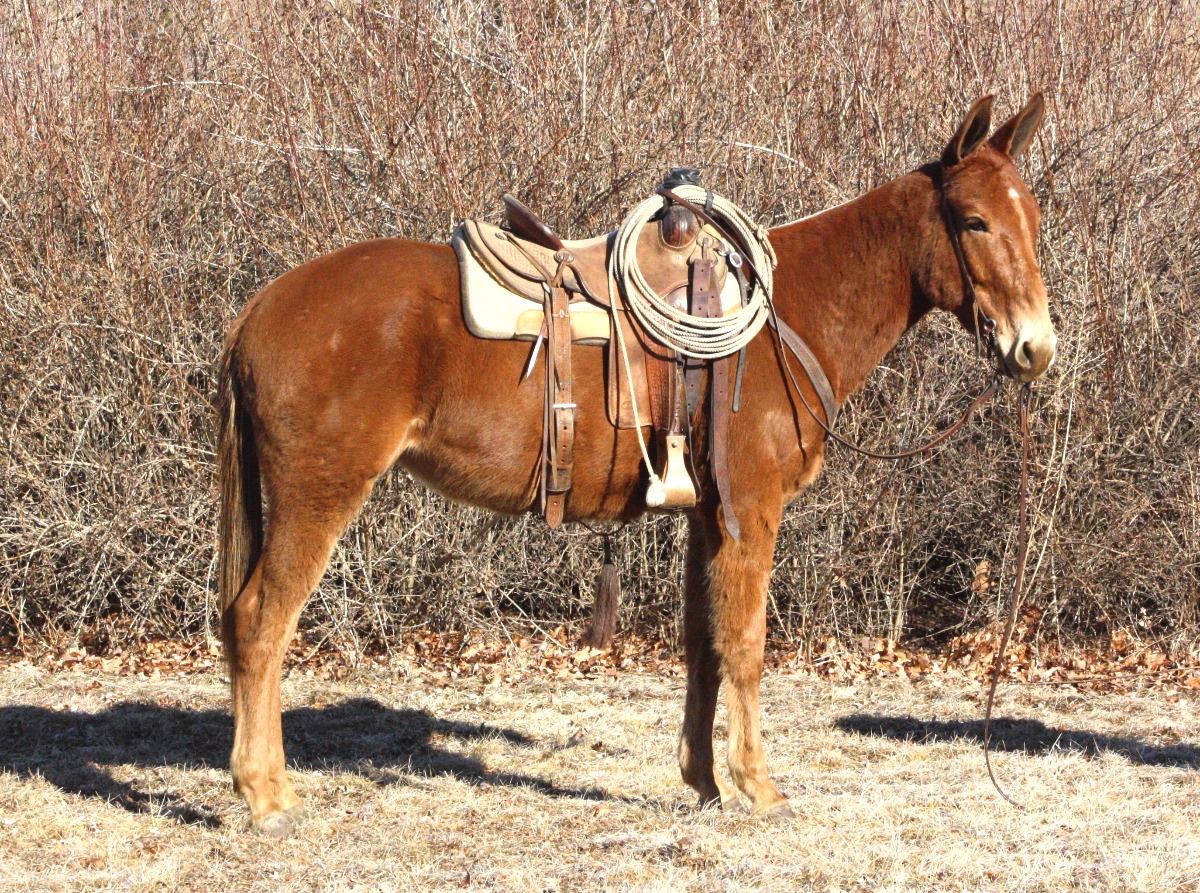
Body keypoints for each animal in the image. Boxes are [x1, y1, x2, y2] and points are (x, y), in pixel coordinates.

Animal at [216, 94, 1055, 835]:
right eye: (974, 220)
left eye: (1033, 219)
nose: (1035, 348)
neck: (787, 314)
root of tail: (261, 310)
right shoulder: (752, 511)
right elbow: (746, 644)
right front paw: (759, 785)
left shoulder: (710, 516)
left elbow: (704, 646)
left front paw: (704, 780)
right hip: (318, 493)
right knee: (261, 622)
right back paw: (265, 793)